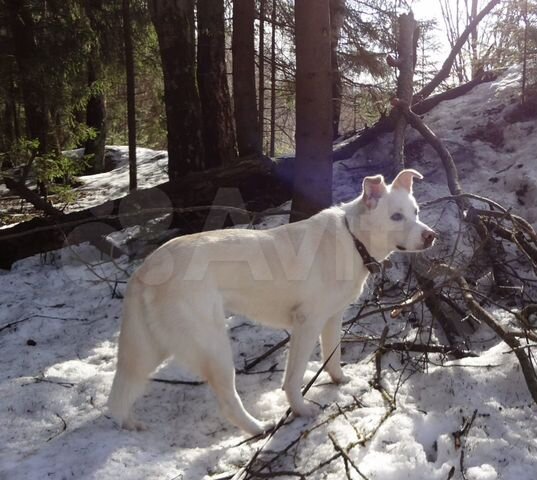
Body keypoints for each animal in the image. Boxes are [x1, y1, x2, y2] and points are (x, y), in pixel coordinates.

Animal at [107, 170, 434, 436]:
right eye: (396, 216)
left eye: (416, 212)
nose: (431, 236)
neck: (353, 239)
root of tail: (145, 269)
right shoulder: (307, 324)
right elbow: (293, 379)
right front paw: (301, 410)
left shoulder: (332, 318)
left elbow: (333, 356)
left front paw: (340, 381)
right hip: (213, 348)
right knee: (227, 401)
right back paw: (257, 428)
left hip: (150, 351)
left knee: (118, 400)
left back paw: (130, 425)